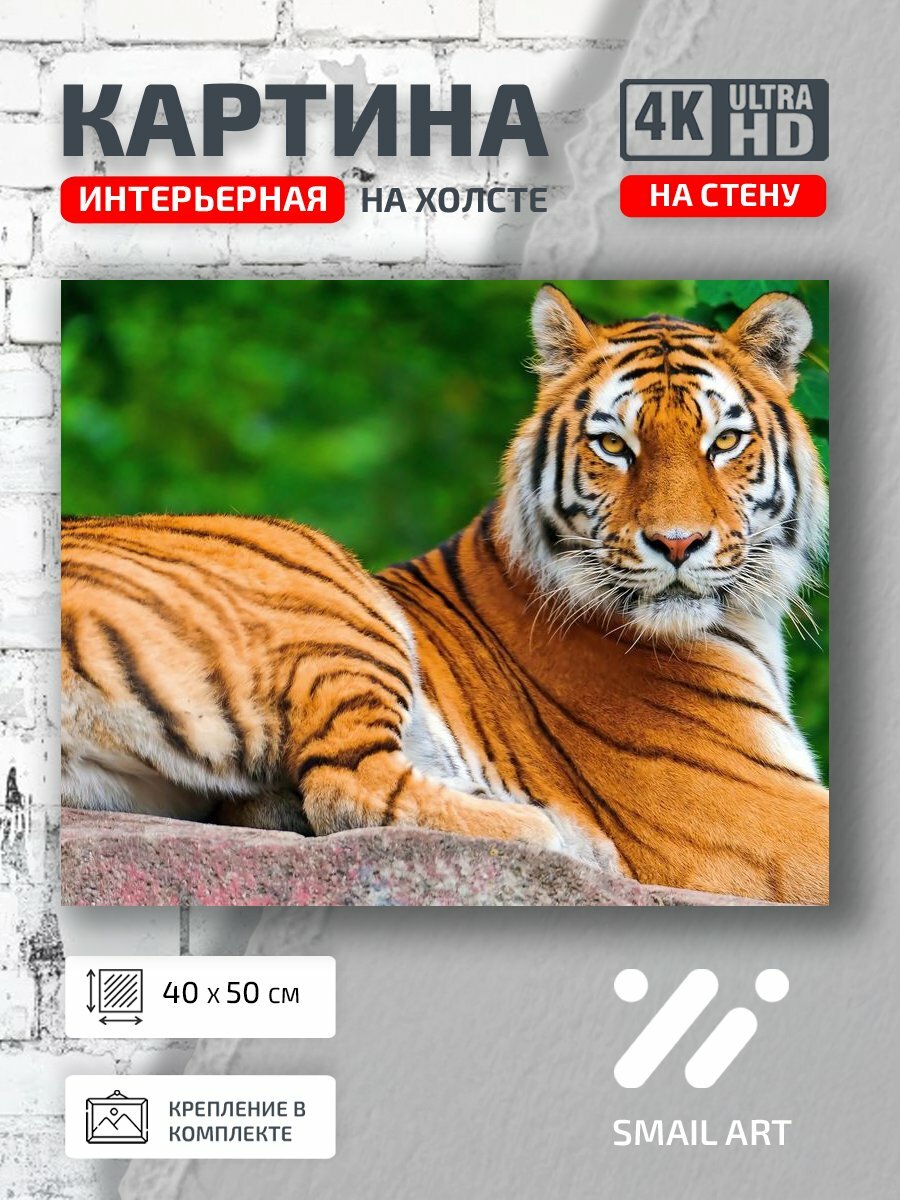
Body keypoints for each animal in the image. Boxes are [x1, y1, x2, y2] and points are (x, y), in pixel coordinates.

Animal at [61, 285, 829, 903]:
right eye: (614, 446)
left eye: (724, 441)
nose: (676, 543)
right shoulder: (753, 808)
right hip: (328, 585)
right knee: (347, 787)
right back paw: (551, 832)